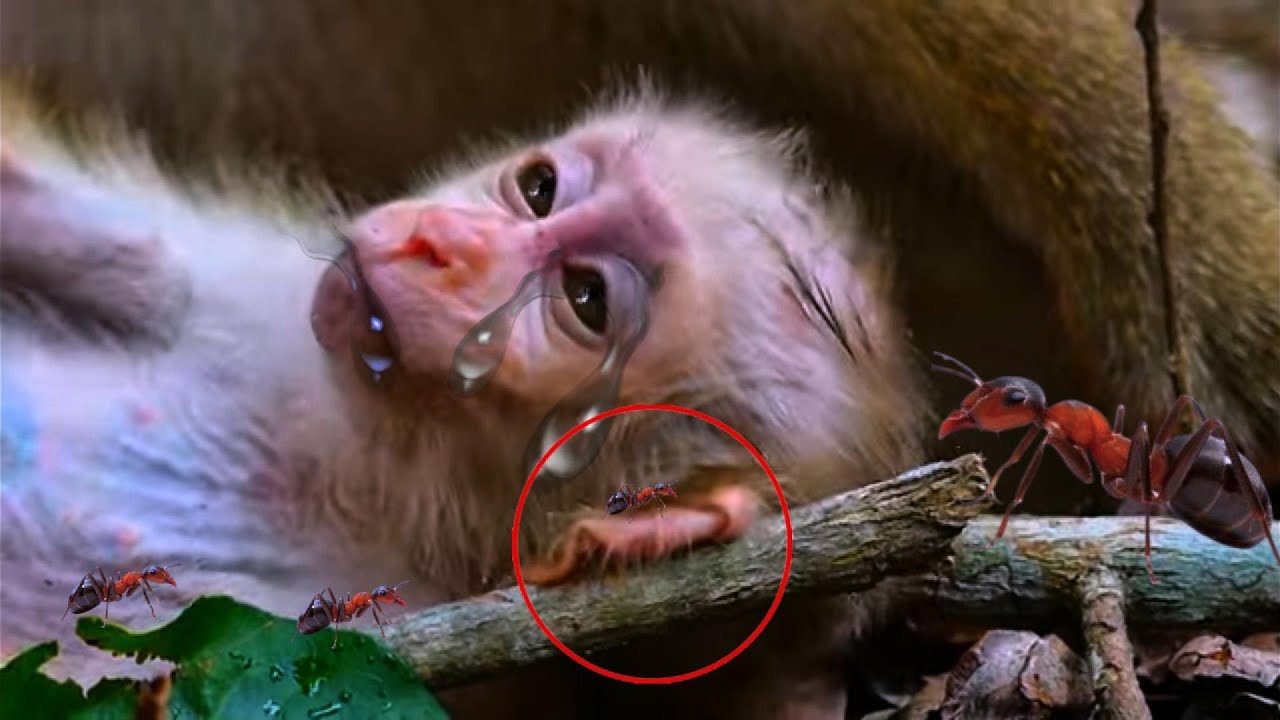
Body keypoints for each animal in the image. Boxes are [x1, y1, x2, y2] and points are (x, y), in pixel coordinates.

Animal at [0, 83, 925, 719]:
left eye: (585, 299)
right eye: (540, 189)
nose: (434, 241)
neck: (353, 473)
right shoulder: (257, 297)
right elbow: (147, 266)